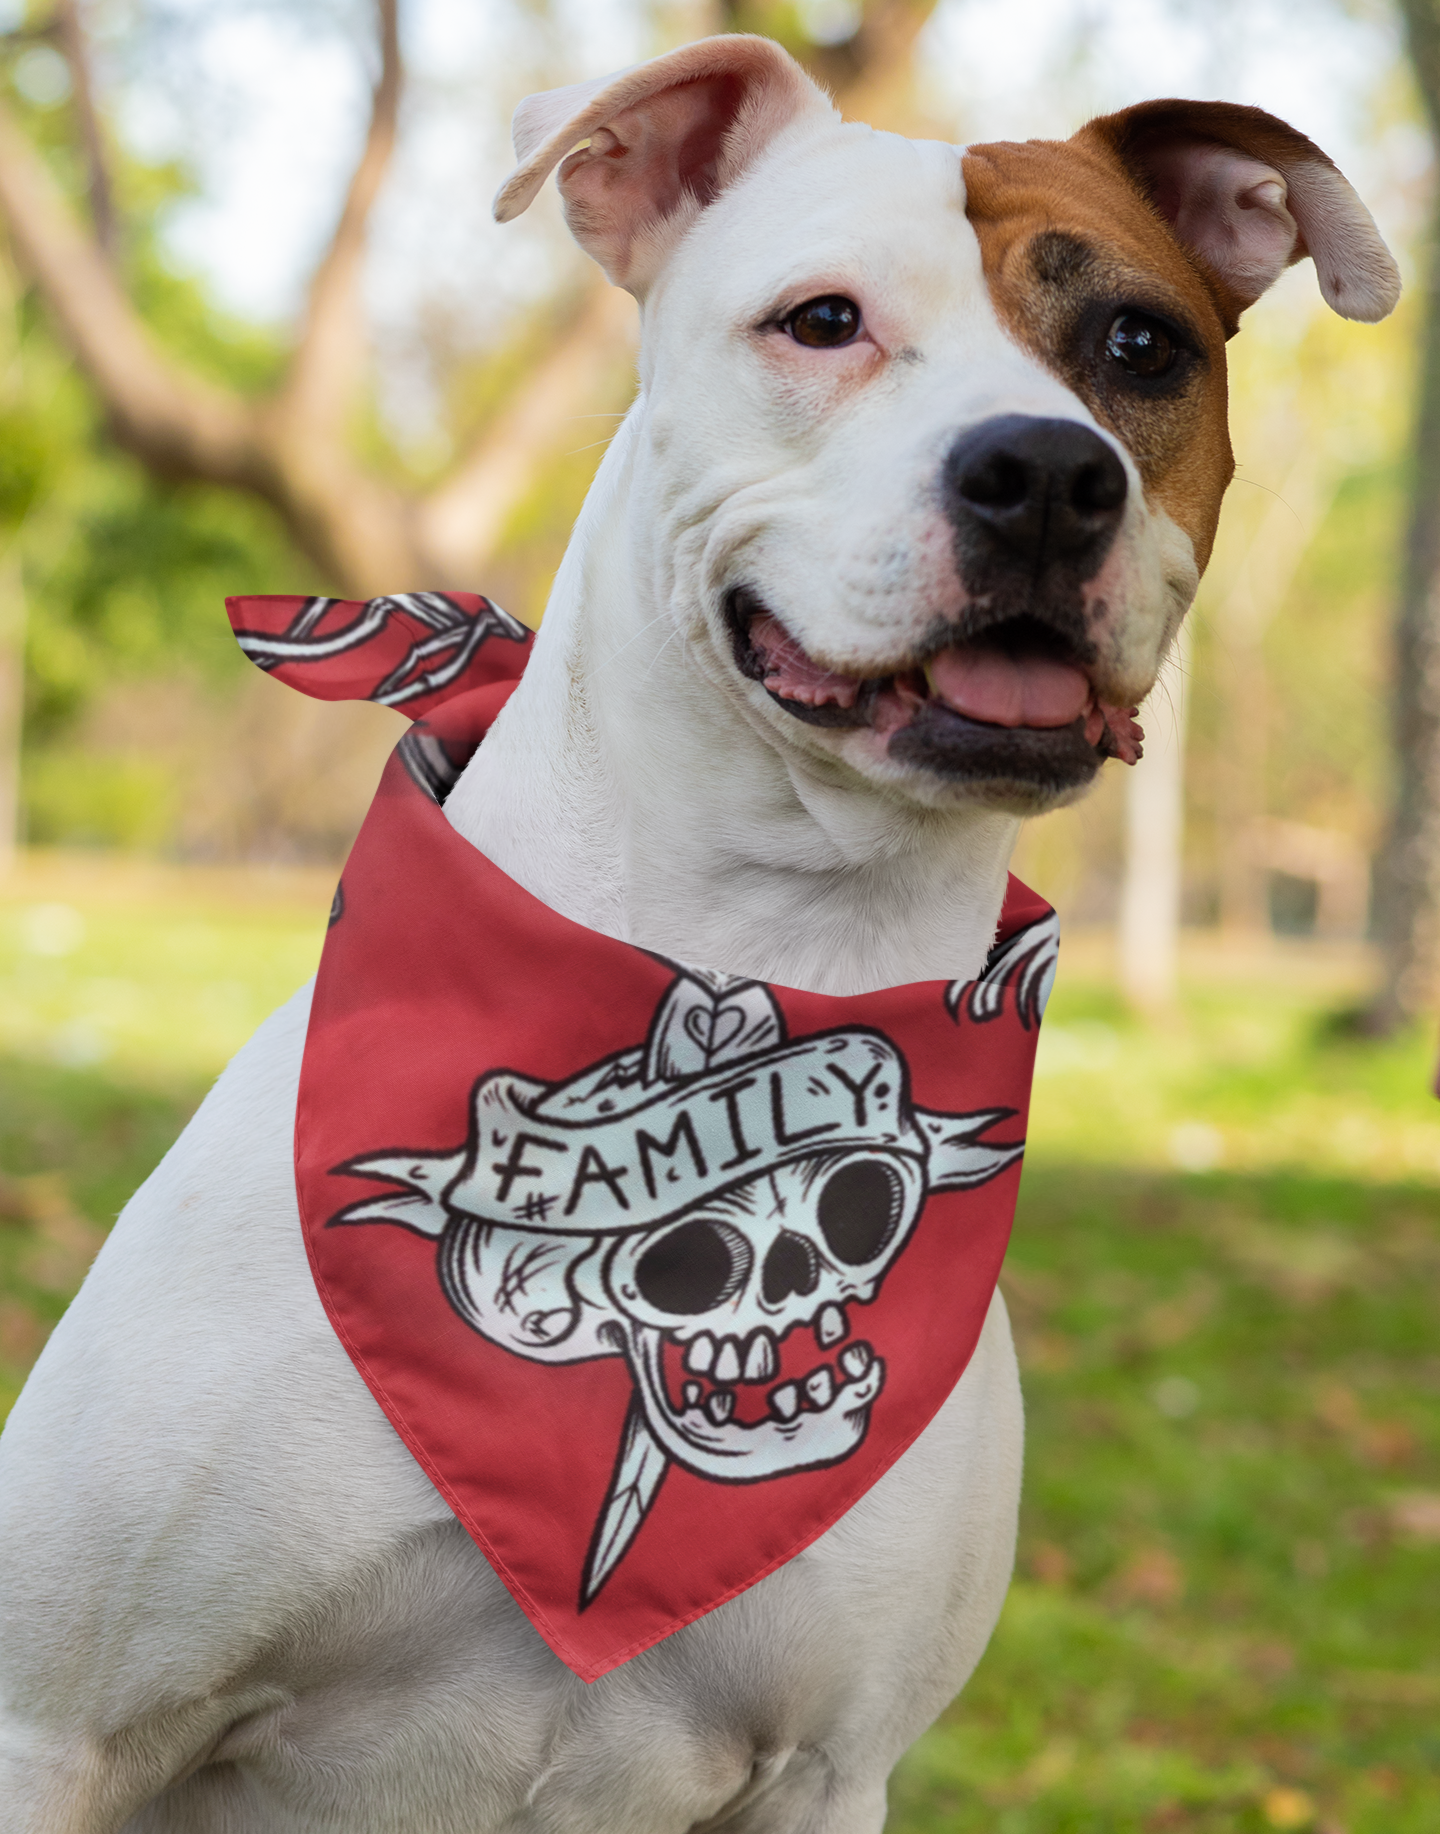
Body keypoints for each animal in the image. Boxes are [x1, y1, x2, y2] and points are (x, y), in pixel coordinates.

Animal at [0, 32, 1394, 1834]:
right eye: (822, 319)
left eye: (1140, 343)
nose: (1045, 470)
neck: (760, 940)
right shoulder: (58, 1725)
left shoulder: (829, 1767)